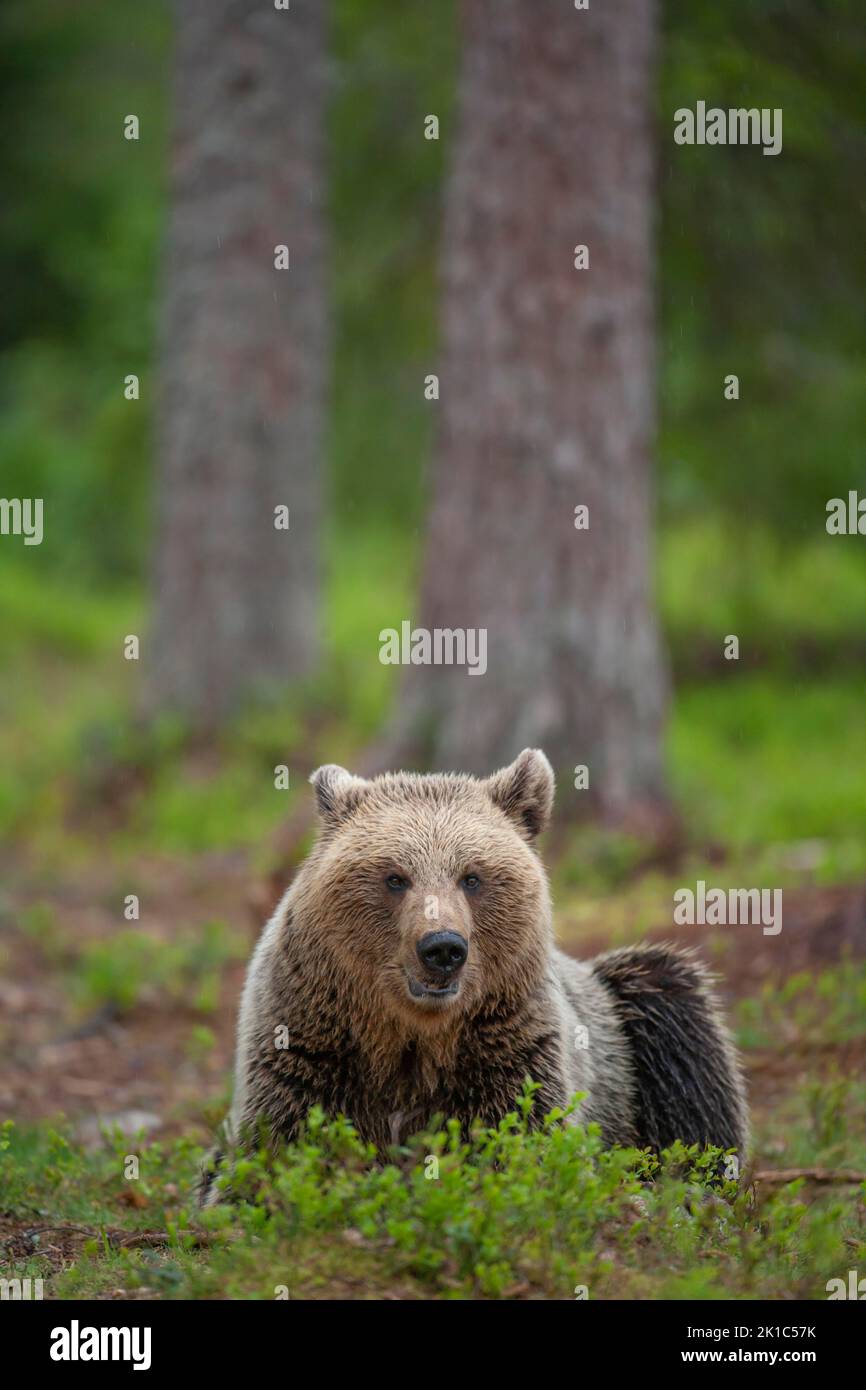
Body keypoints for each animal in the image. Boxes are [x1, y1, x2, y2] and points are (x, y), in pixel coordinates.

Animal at [201, 748, 747, 1202]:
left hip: (625, 1019)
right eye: (395, 877)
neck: (412, 1035)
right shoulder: (309, 1043)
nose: (442, 948)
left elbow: (525, 1141)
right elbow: (276, 1148)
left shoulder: (508, 1048)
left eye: (472, 877)